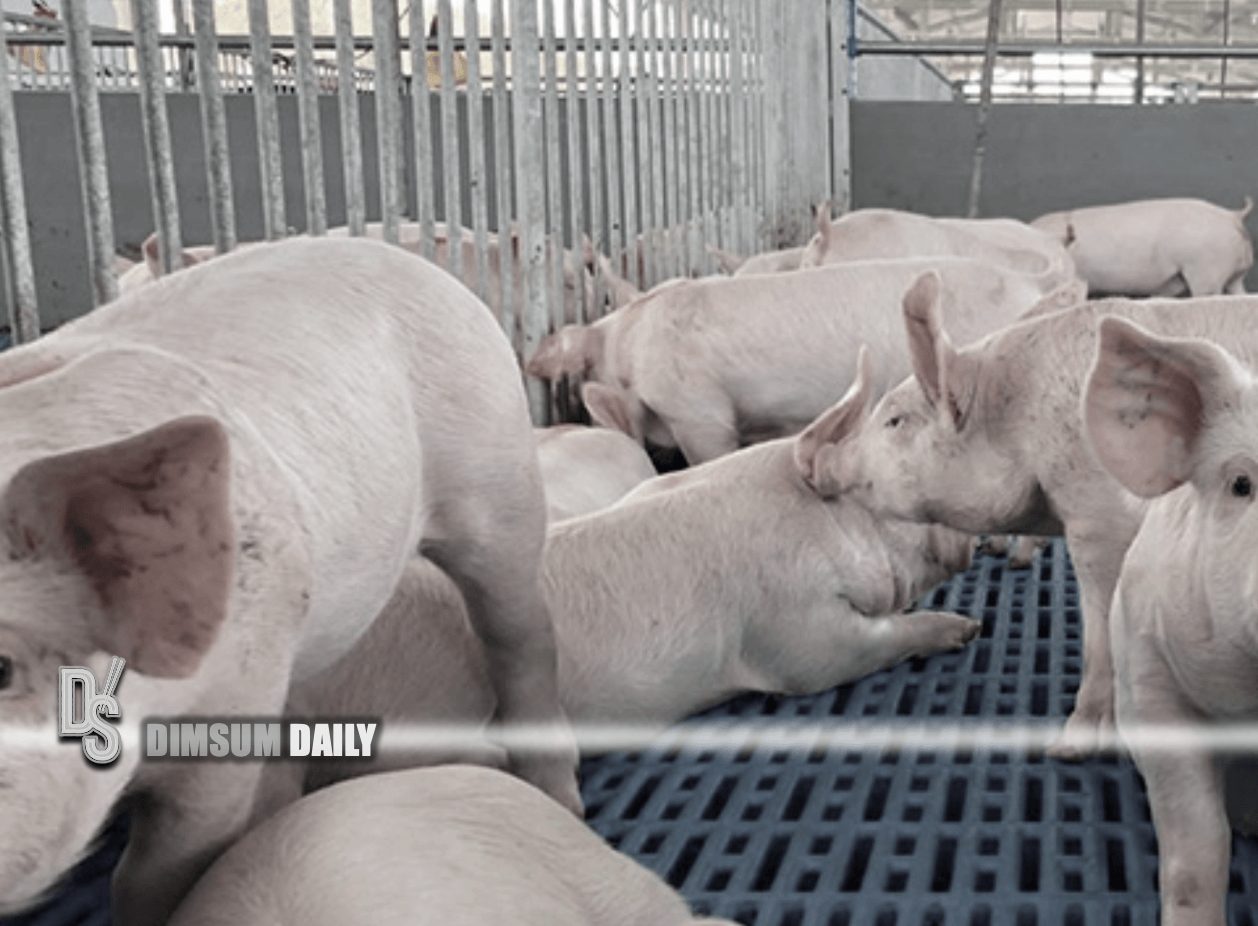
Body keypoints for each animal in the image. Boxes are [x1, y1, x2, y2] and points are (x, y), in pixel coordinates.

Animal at [0, 237, 577, 924]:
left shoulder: (230, 697)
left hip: (496, 472)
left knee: (520, 634)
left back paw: (564, 799)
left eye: (0, 667)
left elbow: (156, 871)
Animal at [811, 273, 1258, 758]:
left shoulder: (1098, 513)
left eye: (894, 421)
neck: (1016, 421)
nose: (816, 462)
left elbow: (1100, 630)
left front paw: (1068, 747)